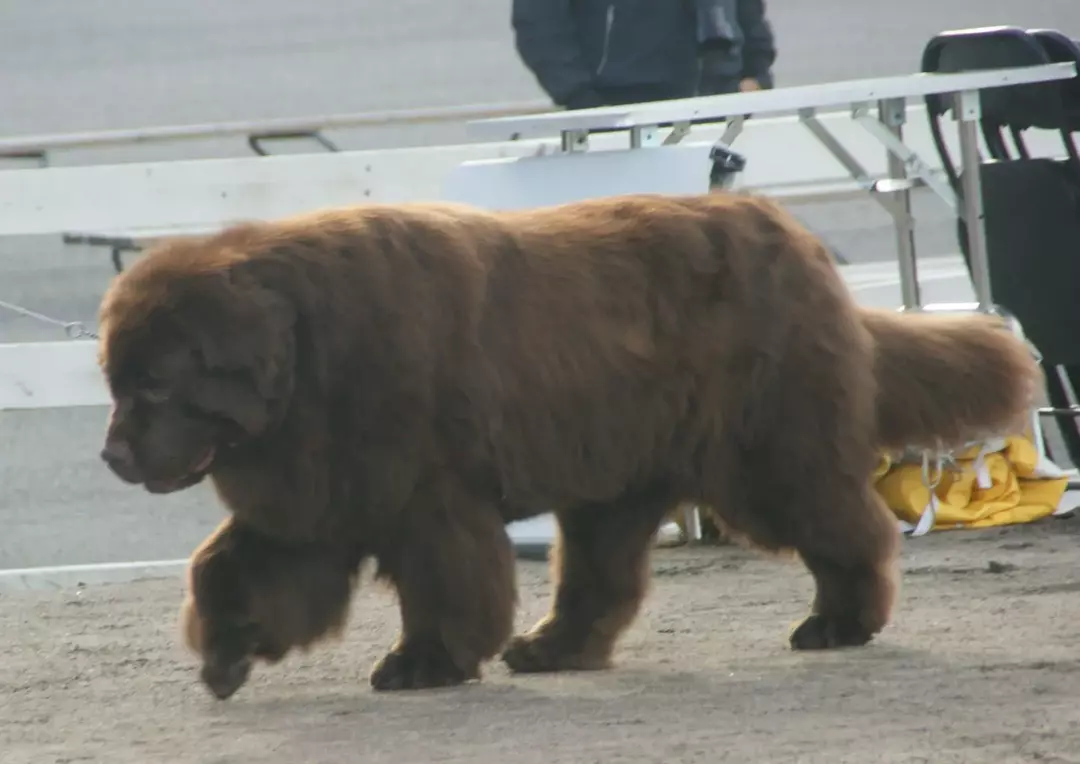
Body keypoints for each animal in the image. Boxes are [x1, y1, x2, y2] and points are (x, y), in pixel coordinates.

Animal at [97, 191, 1041, 700]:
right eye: (114, 379)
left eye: (155, 385)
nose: (111, 457)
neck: (304, 355)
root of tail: (798, 238)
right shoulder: (322, 497)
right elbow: (227, 567)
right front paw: (224, 657)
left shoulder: (426, 498)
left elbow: (445, 585)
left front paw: (423, 663)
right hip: (614, 478)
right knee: (602, 574)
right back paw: (552, 649)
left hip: (766, 454)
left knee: (847, 526)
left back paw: (839, 624)